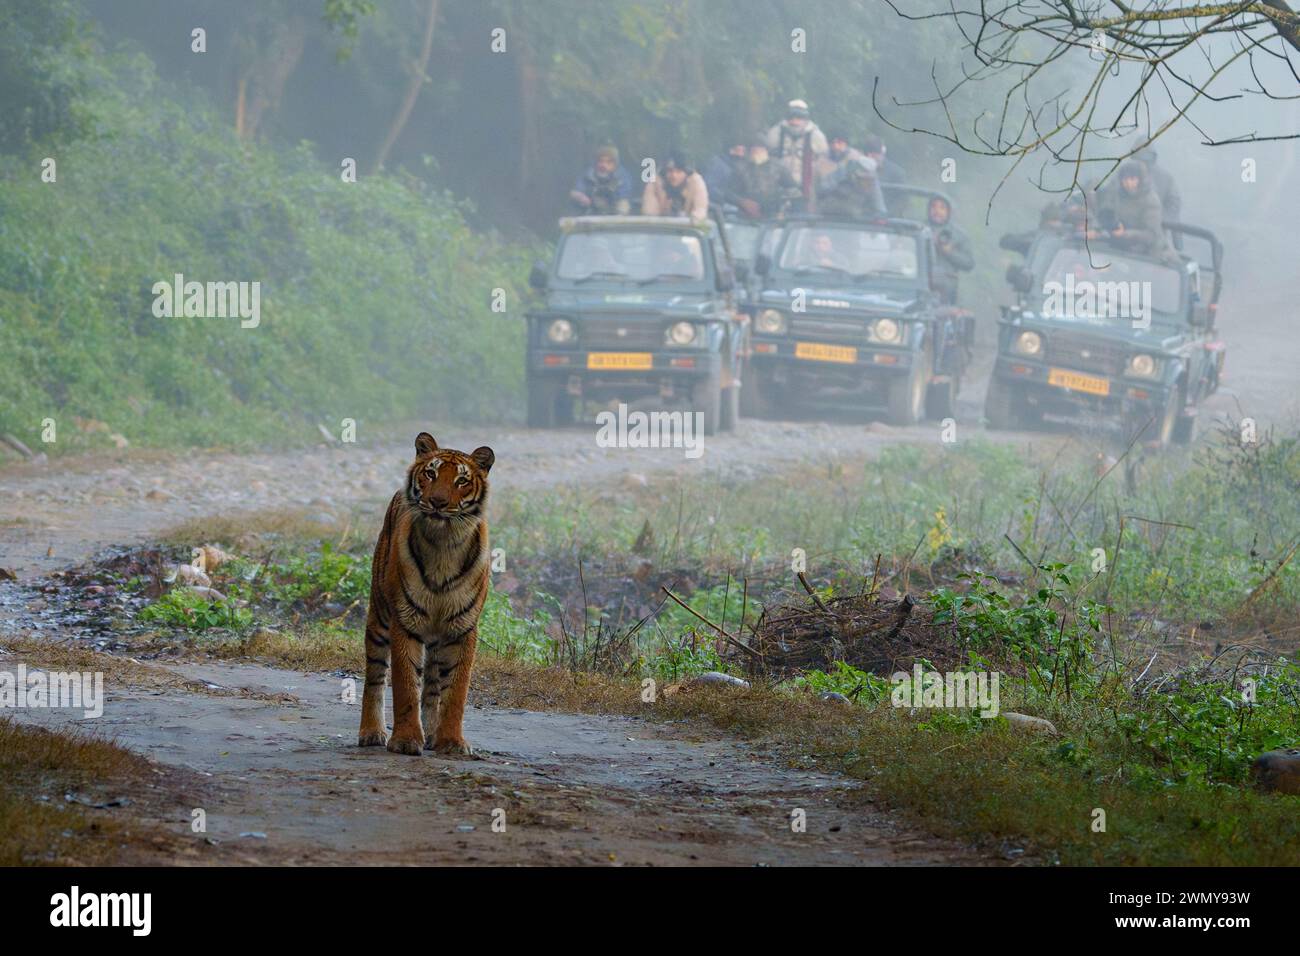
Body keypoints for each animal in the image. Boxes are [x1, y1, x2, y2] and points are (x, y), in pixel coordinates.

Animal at [357, 432, 494, 756]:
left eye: (461, 481)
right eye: (430, 474)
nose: (437, 502)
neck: (443, 544)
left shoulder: (463, 627)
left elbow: (455, 692)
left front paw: (452, 742)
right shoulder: (405, 621)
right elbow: (406, 686)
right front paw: (406, 741)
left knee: (432, 686)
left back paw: (432, 733)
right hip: (379, 617)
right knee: (375, 677)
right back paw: (371, 732)